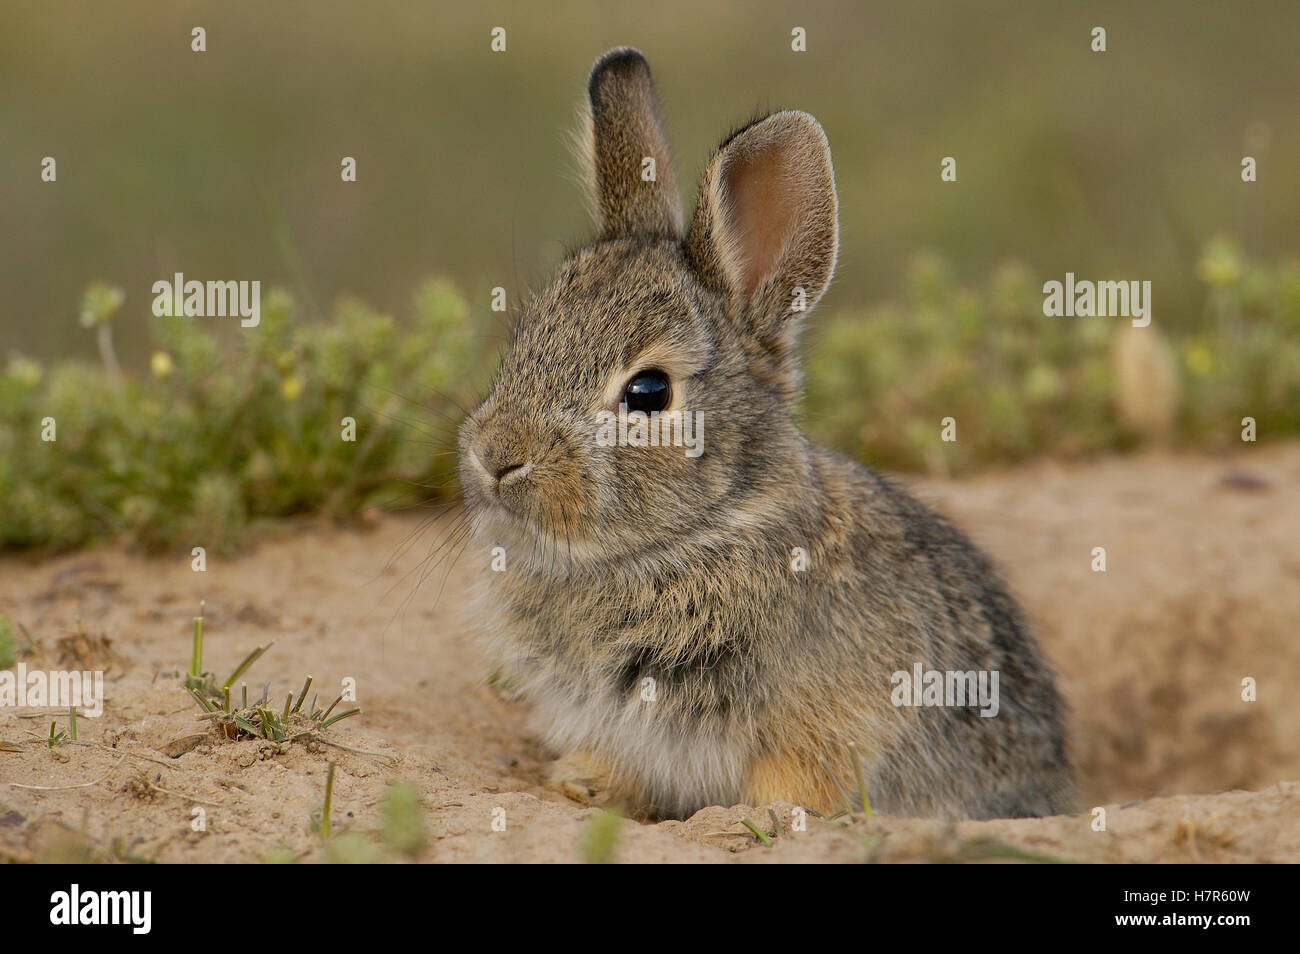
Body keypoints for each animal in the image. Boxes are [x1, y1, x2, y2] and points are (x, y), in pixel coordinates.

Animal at [457, 47, 1076, 821]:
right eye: (523, 341)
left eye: (648, 392)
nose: (495, 459)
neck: (702, 535)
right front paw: (585, 780)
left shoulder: (835, 721)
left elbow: (801, 778)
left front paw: (770, 816)